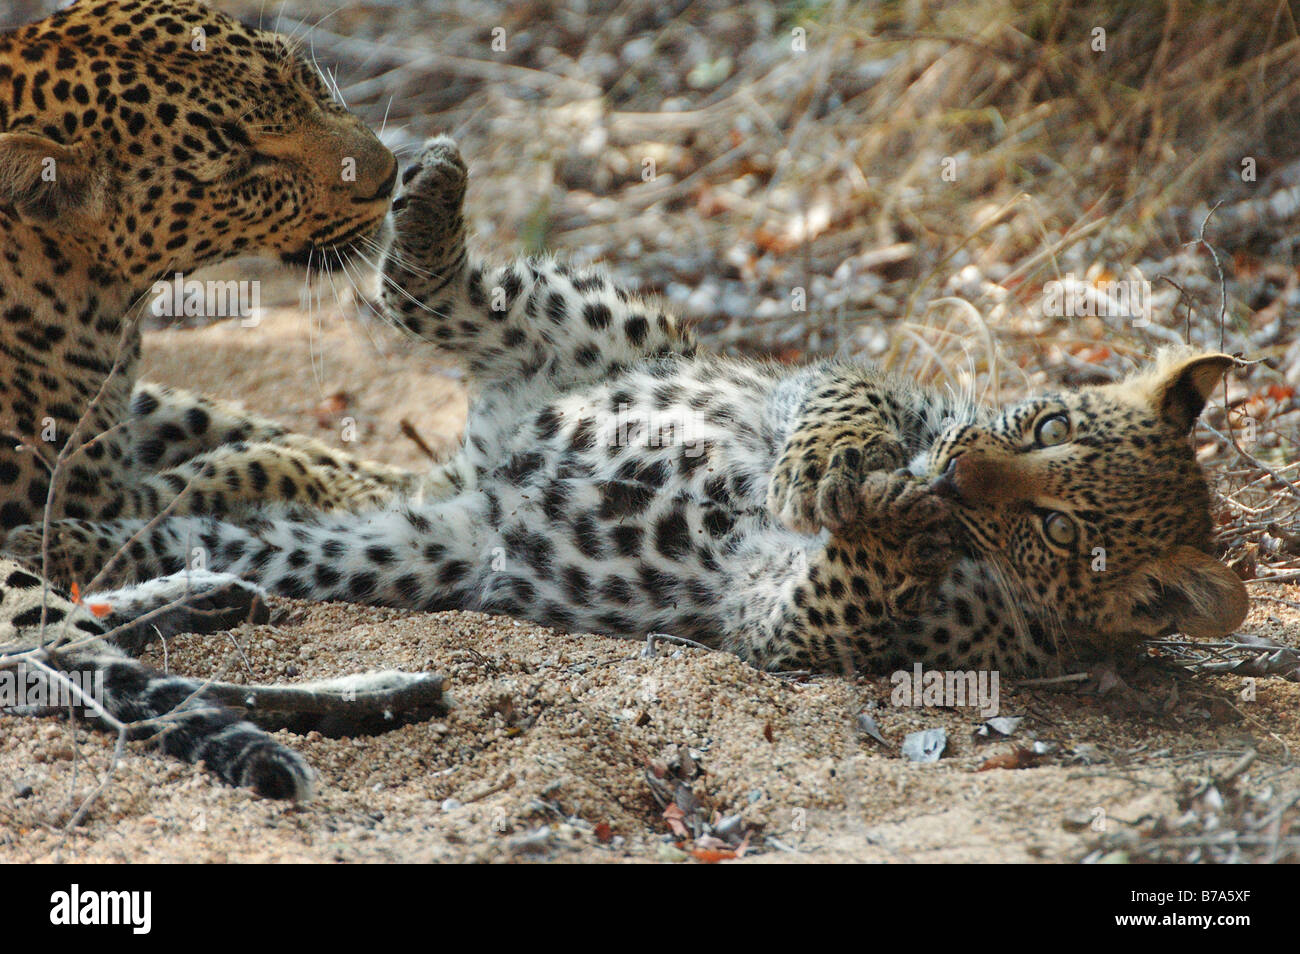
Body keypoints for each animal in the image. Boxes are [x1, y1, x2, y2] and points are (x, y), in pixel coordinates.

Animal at [0, 0, 456, 801]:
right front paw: (365, 489)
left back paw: (212, 592)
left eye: (305, 76)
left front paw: (411, 476)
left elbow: (246, 427)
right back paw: (386, 693)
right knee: (72, 672)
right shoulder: (78, 487)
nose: (388, 176)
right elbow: (244, 464)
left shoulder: (124, 406)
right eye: (245, 168)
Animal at [10, 135, 1249, 690]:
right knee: (436, 295)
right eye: (1045, 427)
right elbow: (840, 394)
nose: (951, 478)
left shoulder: (798, 627)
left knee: (149, 532)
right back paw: (431, 197)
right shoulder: (833, 383)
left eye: (1060, 531)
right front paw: (841, 471)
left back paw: (85, 538)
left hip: (389, 555)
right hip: (601, 333)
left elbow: (849, 587)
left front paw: (899, 519)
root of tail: (480, 470)